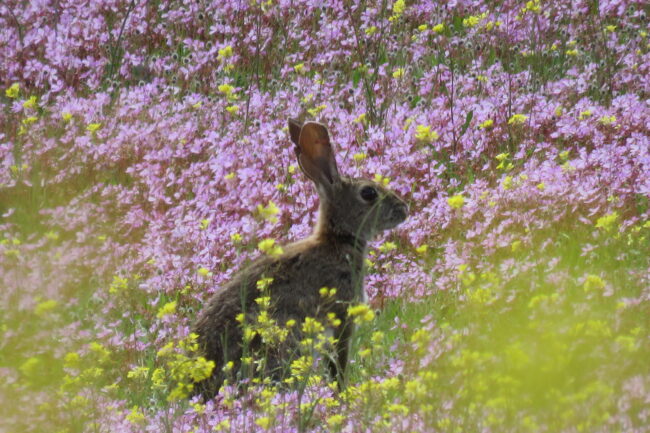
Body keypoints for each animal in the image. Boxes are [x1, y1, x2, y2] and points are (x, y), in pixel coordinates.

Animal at [192, 118, 408, 399]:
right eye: (368, 193)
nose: (404, 208)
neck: (337, 238)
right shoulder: (341, 315)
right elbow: (338, 360)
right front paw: (342, 393)